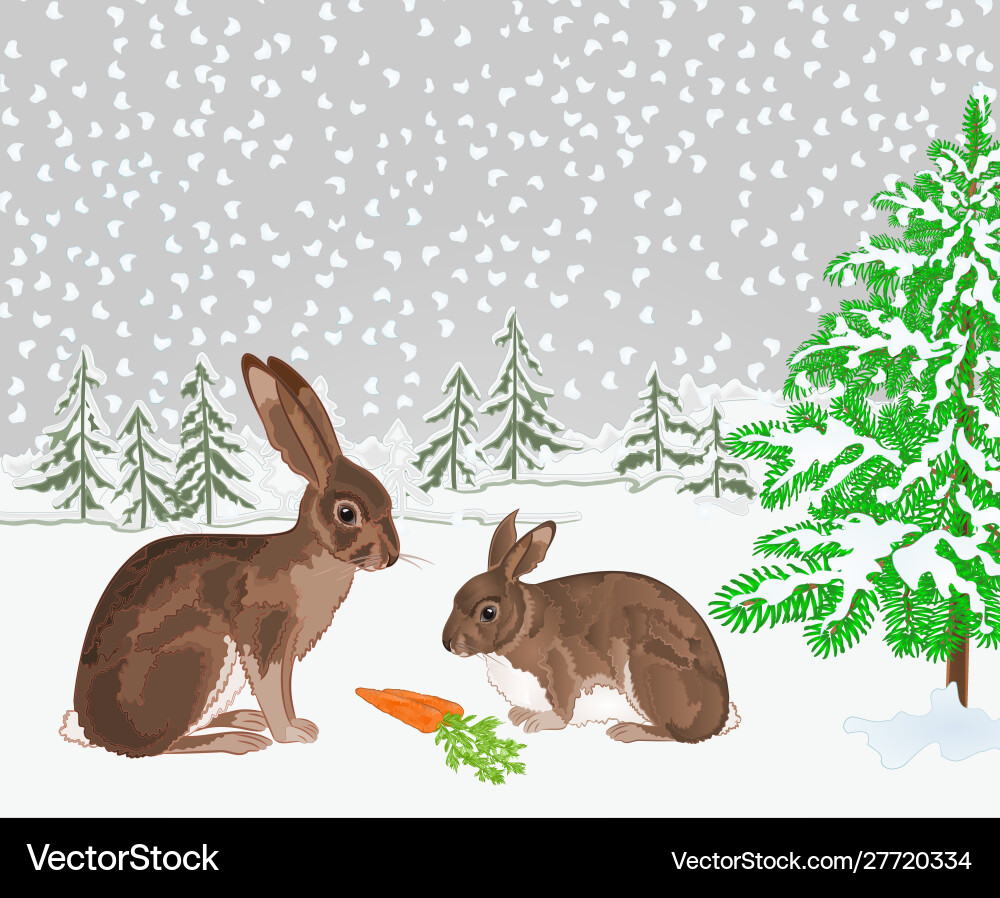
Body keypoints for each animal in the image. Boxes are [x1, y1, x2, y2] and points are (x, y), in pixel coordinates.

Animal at [59, 354, 400, 757]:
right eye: (347, 513)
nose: (392, 557)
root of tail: (91, 729)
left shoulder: (287, 651)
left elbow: (283, 691)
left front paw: (300, 725)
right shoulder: (265, 635)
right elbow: (272, 691)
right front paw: (291, 735)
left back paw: (241, 719)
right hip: (201, 657)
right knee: (162, 747)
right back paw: (236, 739)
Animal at [442, 510, 737, 743]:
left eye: (488, 613)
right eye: (455, 597)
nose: (447, 643)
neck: (525, 624)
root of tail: (720, 716)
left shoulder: (560, 667)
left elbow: (564, 709)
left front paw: (539, 722)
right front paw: (521, 714)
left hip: (646, 673)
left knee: (674, 734)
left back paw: (627, 731)